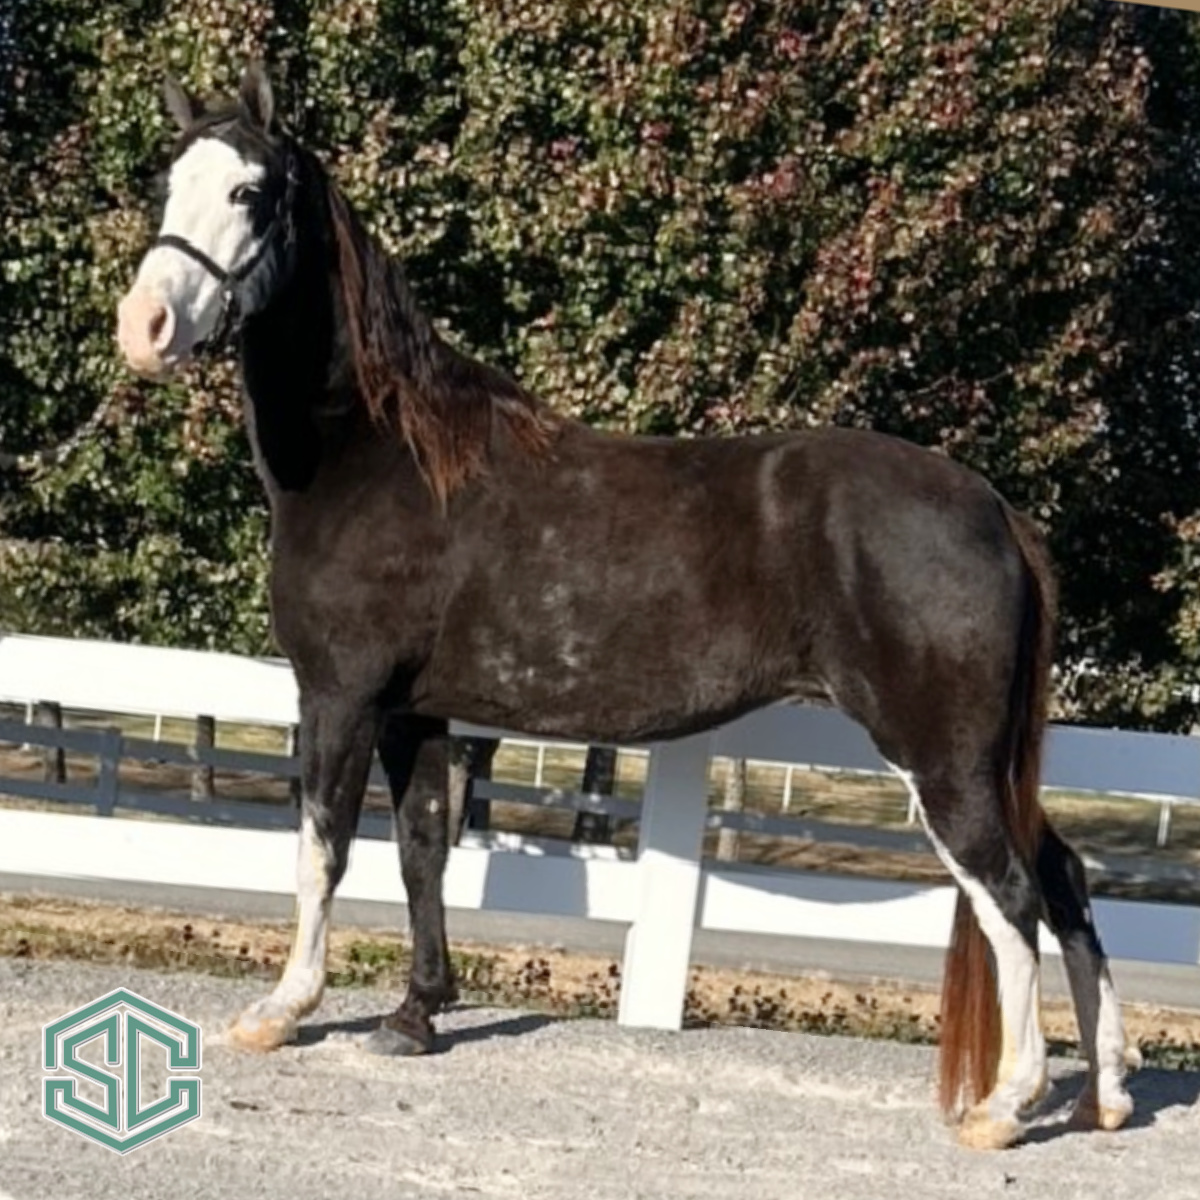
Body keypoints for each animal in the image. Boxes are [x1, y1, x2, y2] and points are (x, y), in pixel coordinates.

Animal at [115, 61, 1137, 1150]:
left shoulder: (342, 695)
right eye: (167, 186)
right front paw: (417, 1014)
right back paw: (1105, 1092)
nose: (145, 328)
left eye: (251, 192)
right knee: (1064, 878)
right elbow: (425, 851)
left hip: (944, 758)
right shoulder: (415, 709)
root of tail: (996, 509)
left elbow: (323, 848)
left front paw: (282, 1010)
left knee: (1010, 893)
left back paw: (1008, 1104)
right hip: (985, 761)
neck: (382, 455)